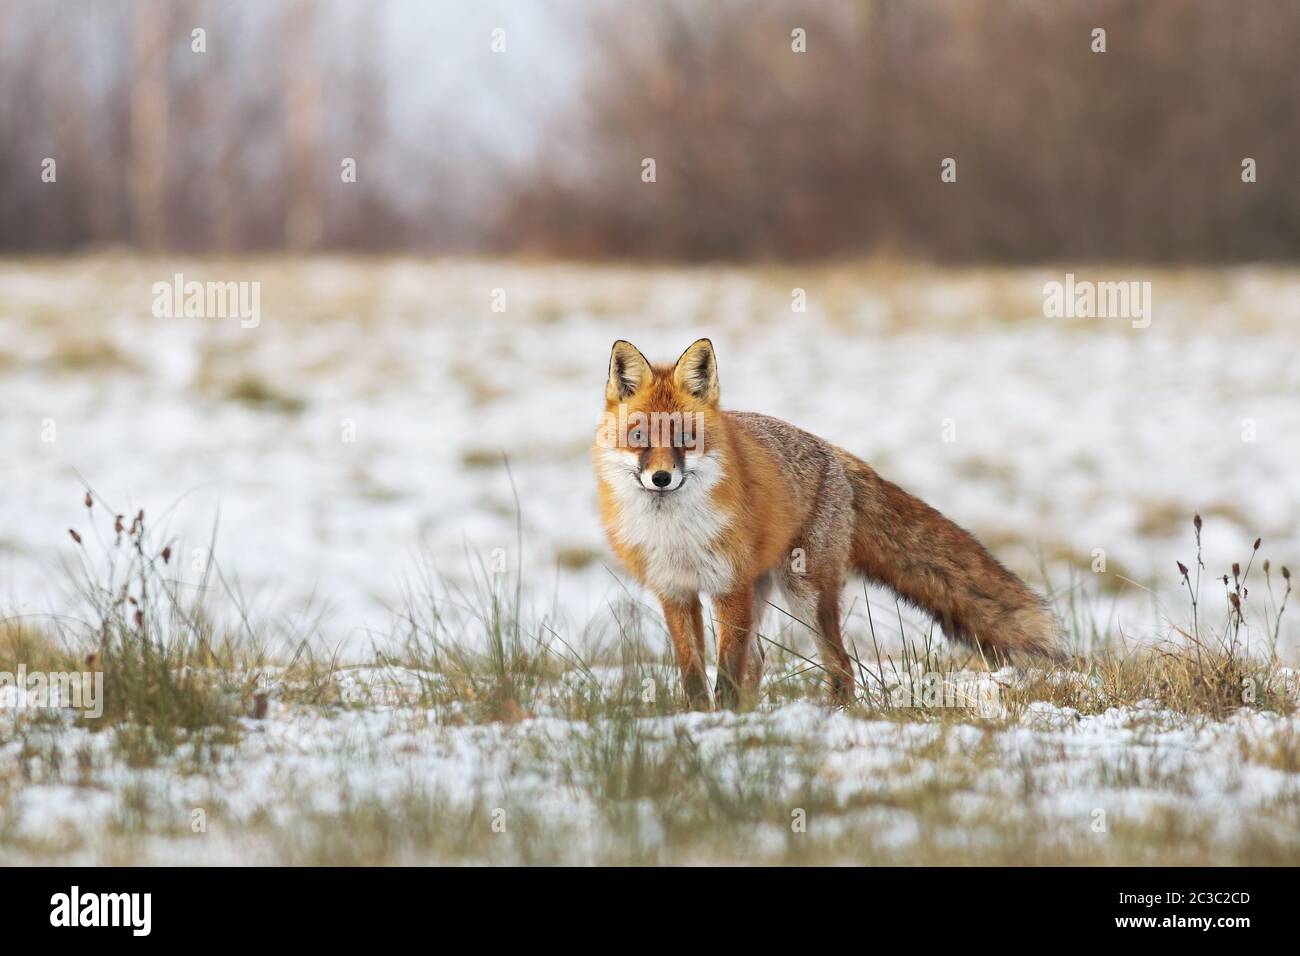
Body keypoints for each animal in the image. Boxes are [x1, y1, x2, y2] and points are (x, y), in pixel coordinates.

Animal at [593, 338, 1064, 710]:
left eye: (685, 439)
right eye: (639, 438)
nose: (661, 478)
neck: (677, 533)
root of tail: (834, 451)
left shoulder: (730, 588)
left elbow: (725, 671)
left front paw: (722, 721)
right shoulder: (675, 591)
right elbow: (693, 673)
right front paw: (698, 719)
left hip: (805, 593)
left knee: (841, 665)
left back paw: (832, 715)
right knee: (760, 661)